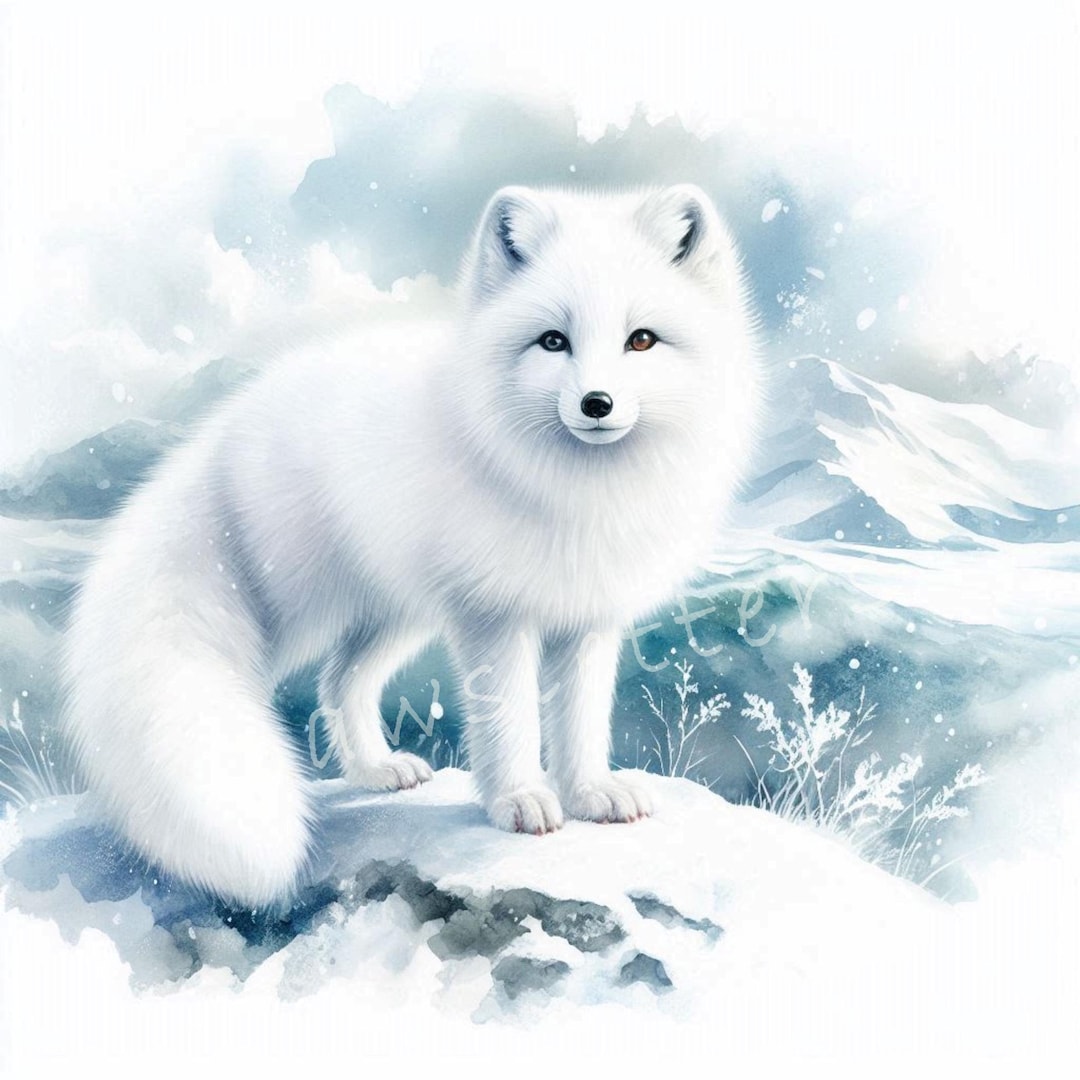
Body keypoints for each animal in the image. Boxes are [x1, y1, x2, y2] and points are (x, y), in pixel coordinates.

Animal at [61, 184, 762, 908]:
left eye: (641, 340)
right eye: (553, 341)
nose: (597, 403)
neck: (580, 494)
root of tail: (223, 428)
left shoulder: (587, 621)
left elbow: (581, 719)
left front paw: (590, 791)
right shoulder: (494, 618)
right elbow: (509, 718)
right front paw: (519, 801)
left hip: (398, 613)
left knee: (340, 679)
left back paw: (374, 770)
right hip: (294, 611)